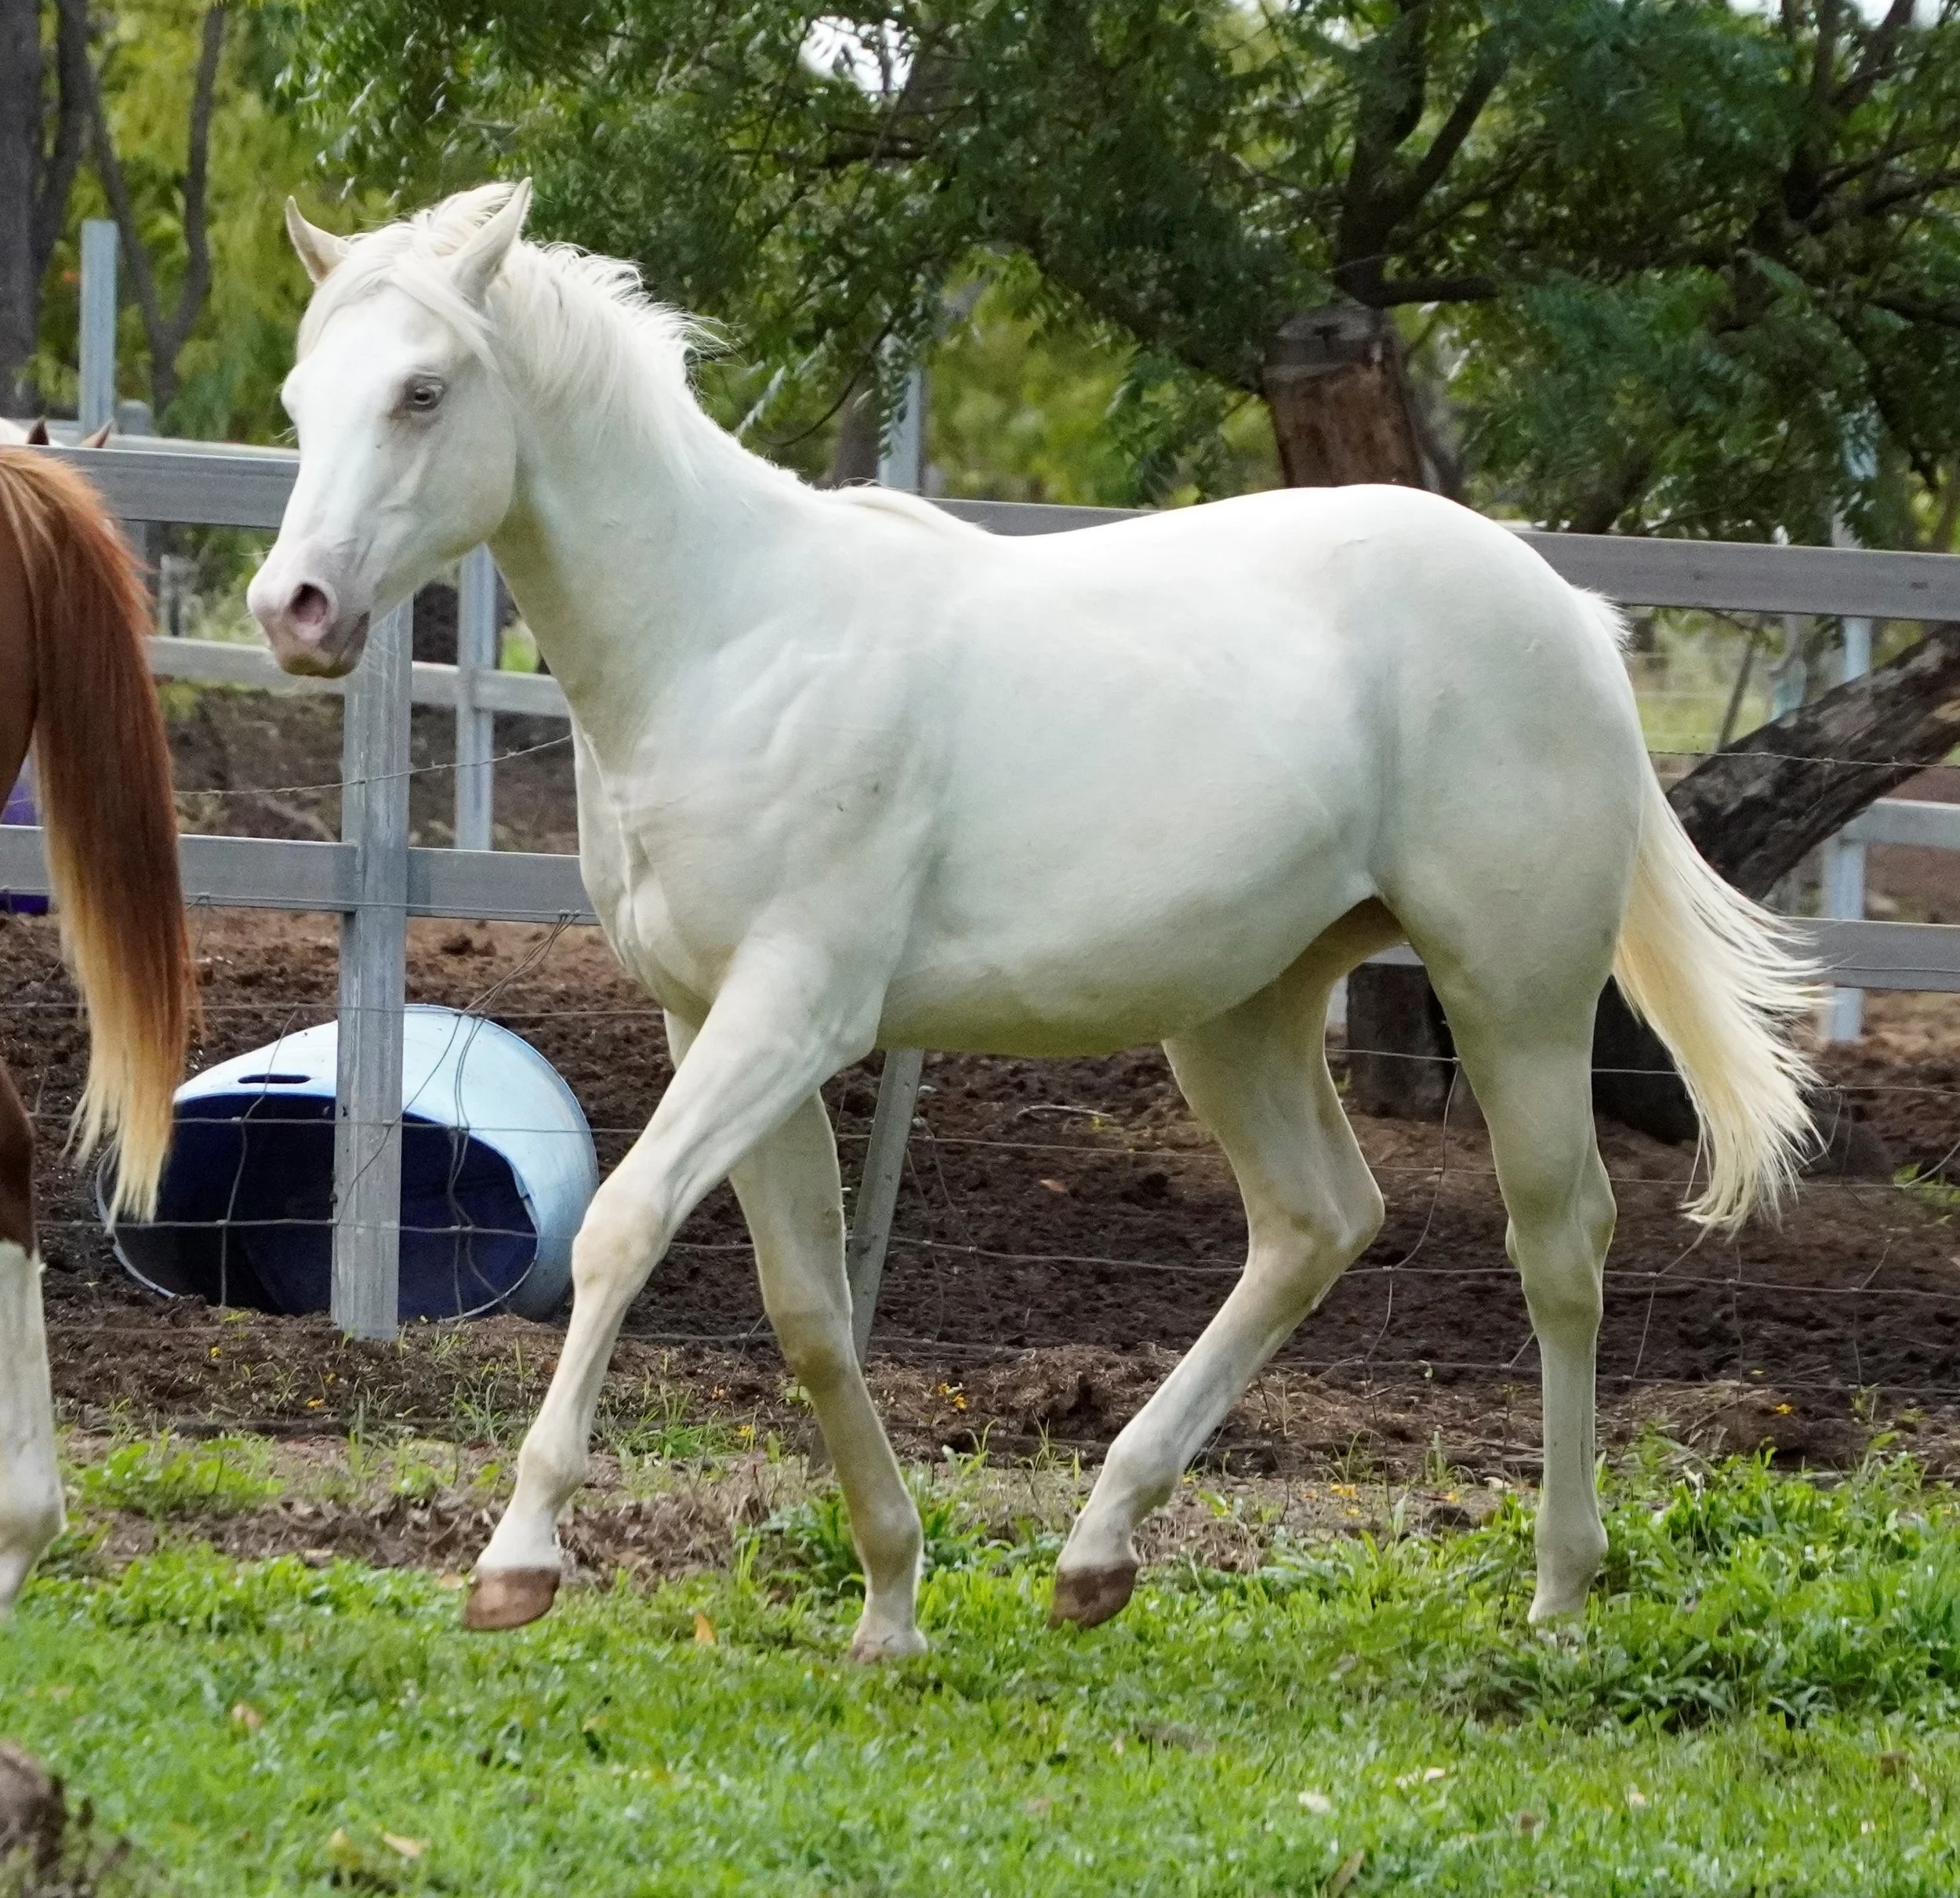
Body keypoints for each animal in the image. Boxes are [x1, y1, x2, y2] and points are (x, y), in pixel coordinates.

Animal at [249, 182, 1816, 1661]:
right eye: (299, 399)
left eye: (424, 391)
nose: (294, 607)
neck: (725, 642)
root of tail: (1568, 612)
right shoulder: (713, 1022)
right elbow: (810, 1309)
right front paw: (891, 1600)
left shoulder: (792, 1011)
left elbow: (623, 1227)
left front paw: (517, 1563)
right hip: (1238, 1012)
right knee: (1318, 1221)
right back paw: (1096, 1553)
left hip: (1516, 998)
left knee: (1560, 1247)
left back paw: (1558, 1592)